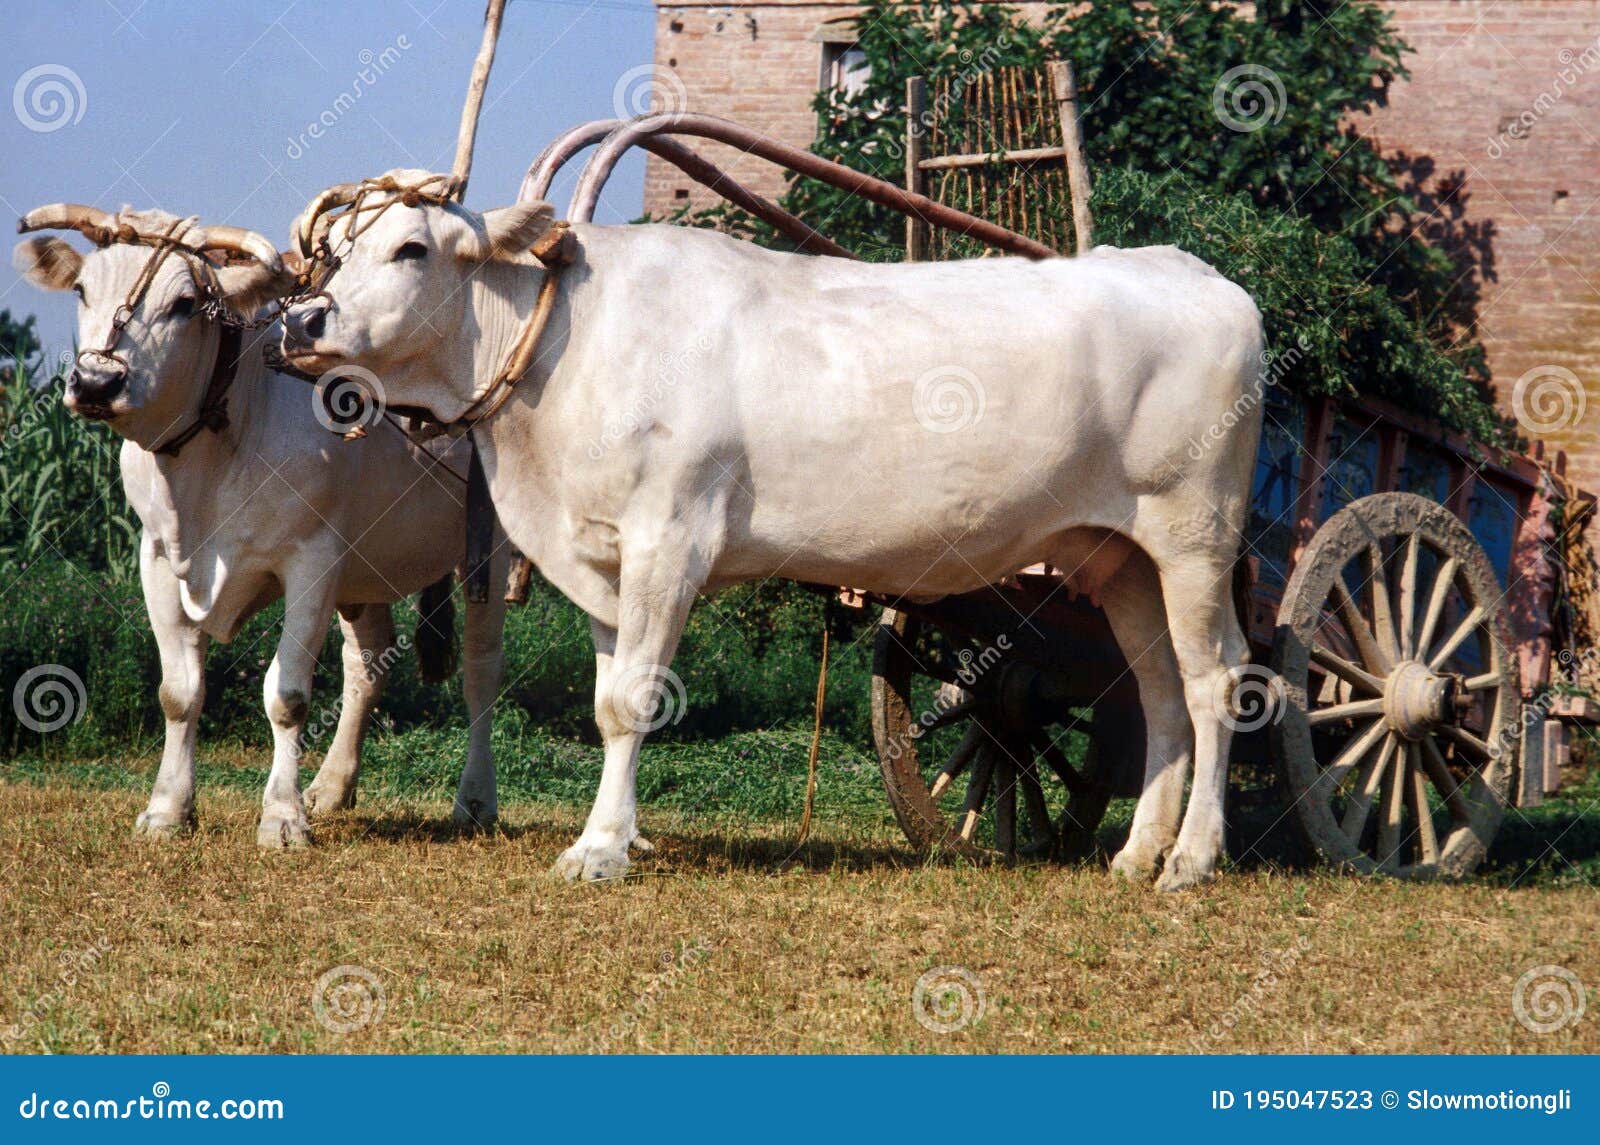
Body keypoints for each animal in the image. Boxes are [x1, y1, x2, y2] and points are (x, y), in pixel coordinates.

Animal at [14, 203, 509, 847]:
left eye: (184, 305)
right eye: (81, 290)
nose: (97, 382)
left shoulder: (311, 561)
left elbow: (288, 695)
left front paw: (282, 816)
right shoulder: (156, 555)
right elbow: (179, 692)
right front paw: (168, 808)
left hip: (490, 551)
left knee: (480, 671)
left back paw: (474, 800)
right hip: (363, 568)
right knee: (367, 662)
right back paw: (332, 786)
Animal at [280, 170, 1264, 891]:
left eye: (410, 248)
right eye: (336, 250)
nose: (301, 319)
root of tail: (1196, 272)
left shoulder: (668, 538)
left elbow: (630, 699)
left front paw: (597, 850)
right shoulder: (600, 552)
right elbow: (607, 696)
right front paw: (624, 834)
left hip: (1194, 536)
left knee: (1216, 681)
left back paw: (1191, 859)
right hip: (1121, 557)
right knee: (1158, 687)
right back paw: (1137, 852)